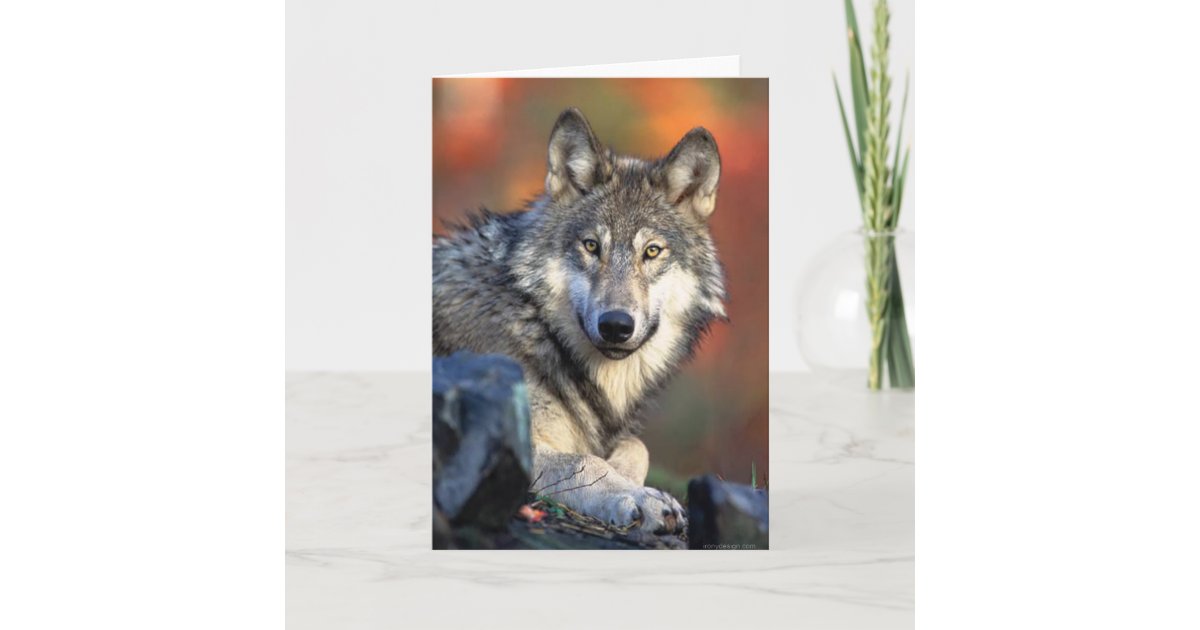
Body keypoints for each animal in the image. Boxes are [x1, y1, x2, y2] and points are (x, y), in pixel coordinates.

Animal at [433, 108, 727, 534]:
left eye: (652, 252)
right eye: (591, 246)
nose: (616, 325)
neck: (537, 326)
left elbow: (636, 447)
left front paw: (627, 477)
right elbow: (583, 461)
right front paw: (638, 497)